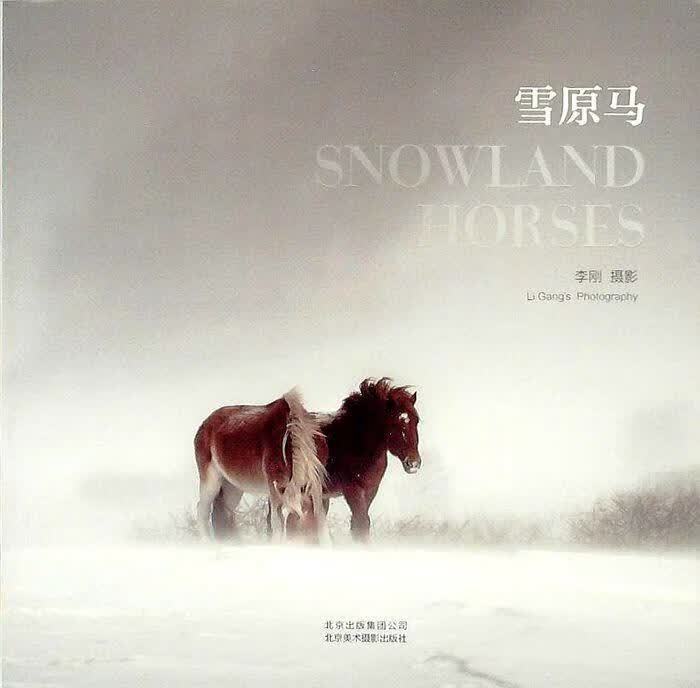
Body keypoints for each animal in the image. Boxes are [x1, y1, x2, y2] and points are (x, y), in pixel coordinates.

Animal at [194, 388, 328, 542]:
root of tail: (205, 424)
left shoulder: (315, 488)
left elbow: (322, 524)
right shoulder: (275, 491)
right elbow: (276, 525)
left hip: (232, 486)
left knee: (226, 513)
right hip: (211, 480)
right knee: (202, 511)